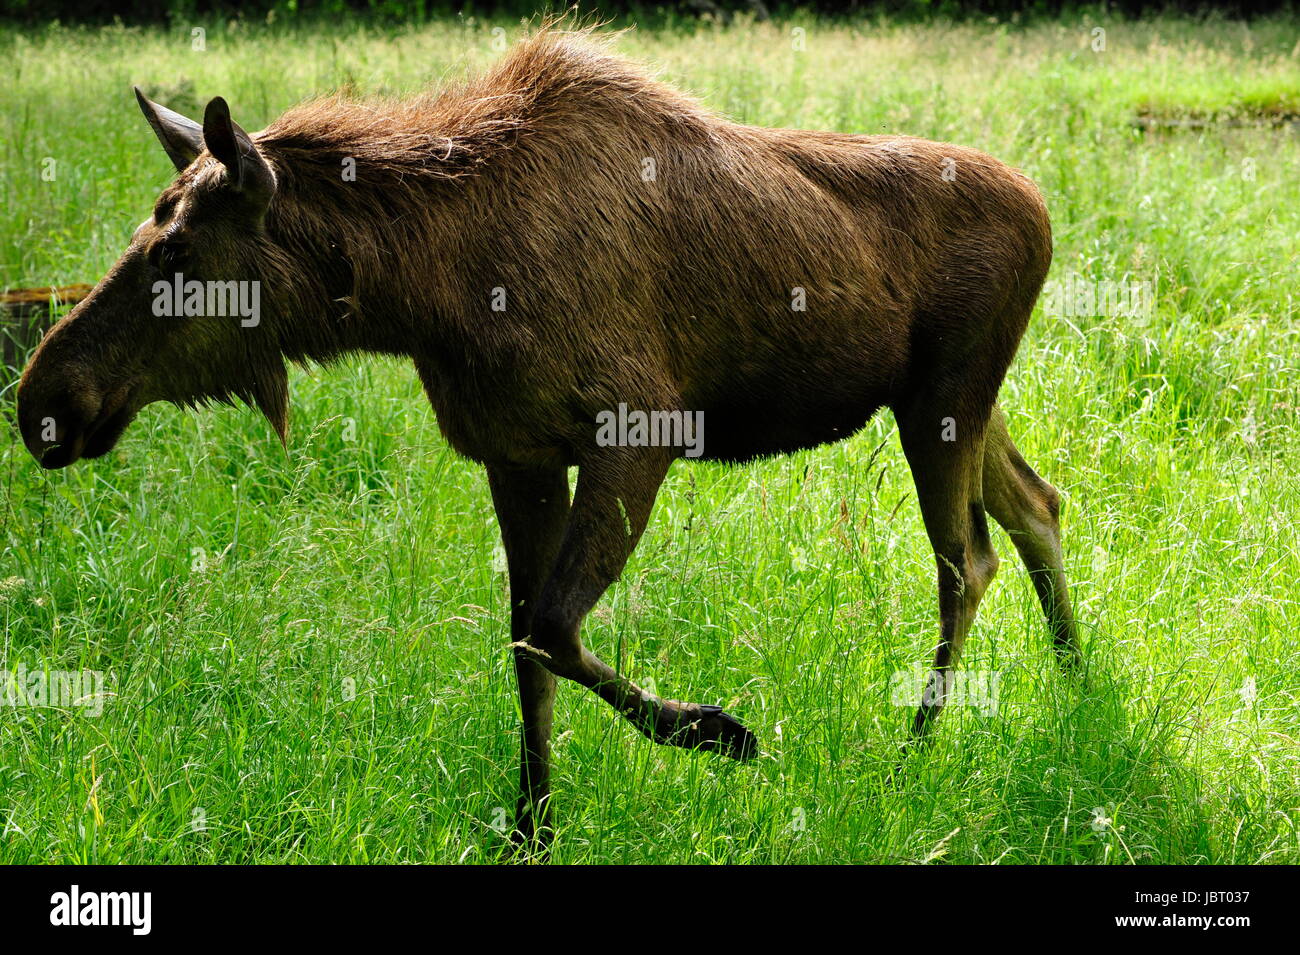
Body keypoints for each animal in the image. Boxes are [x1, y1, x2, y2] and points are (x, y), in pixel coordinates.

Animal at [16, 28, 1080, 848]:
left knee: (965, 558)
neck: (425, 292)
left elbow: (552, 628)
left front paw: (720, 731)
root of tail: (1046, 209)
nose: (42, 402)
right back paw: (1075, 675)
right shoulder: (516, 453)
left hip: (944, 395)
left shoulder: (637, 428)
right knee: (1039, 503)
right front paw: (532, 826)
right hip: (953, 400)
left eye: (176, 248)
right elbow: (527, 648)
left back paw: (917, 749)